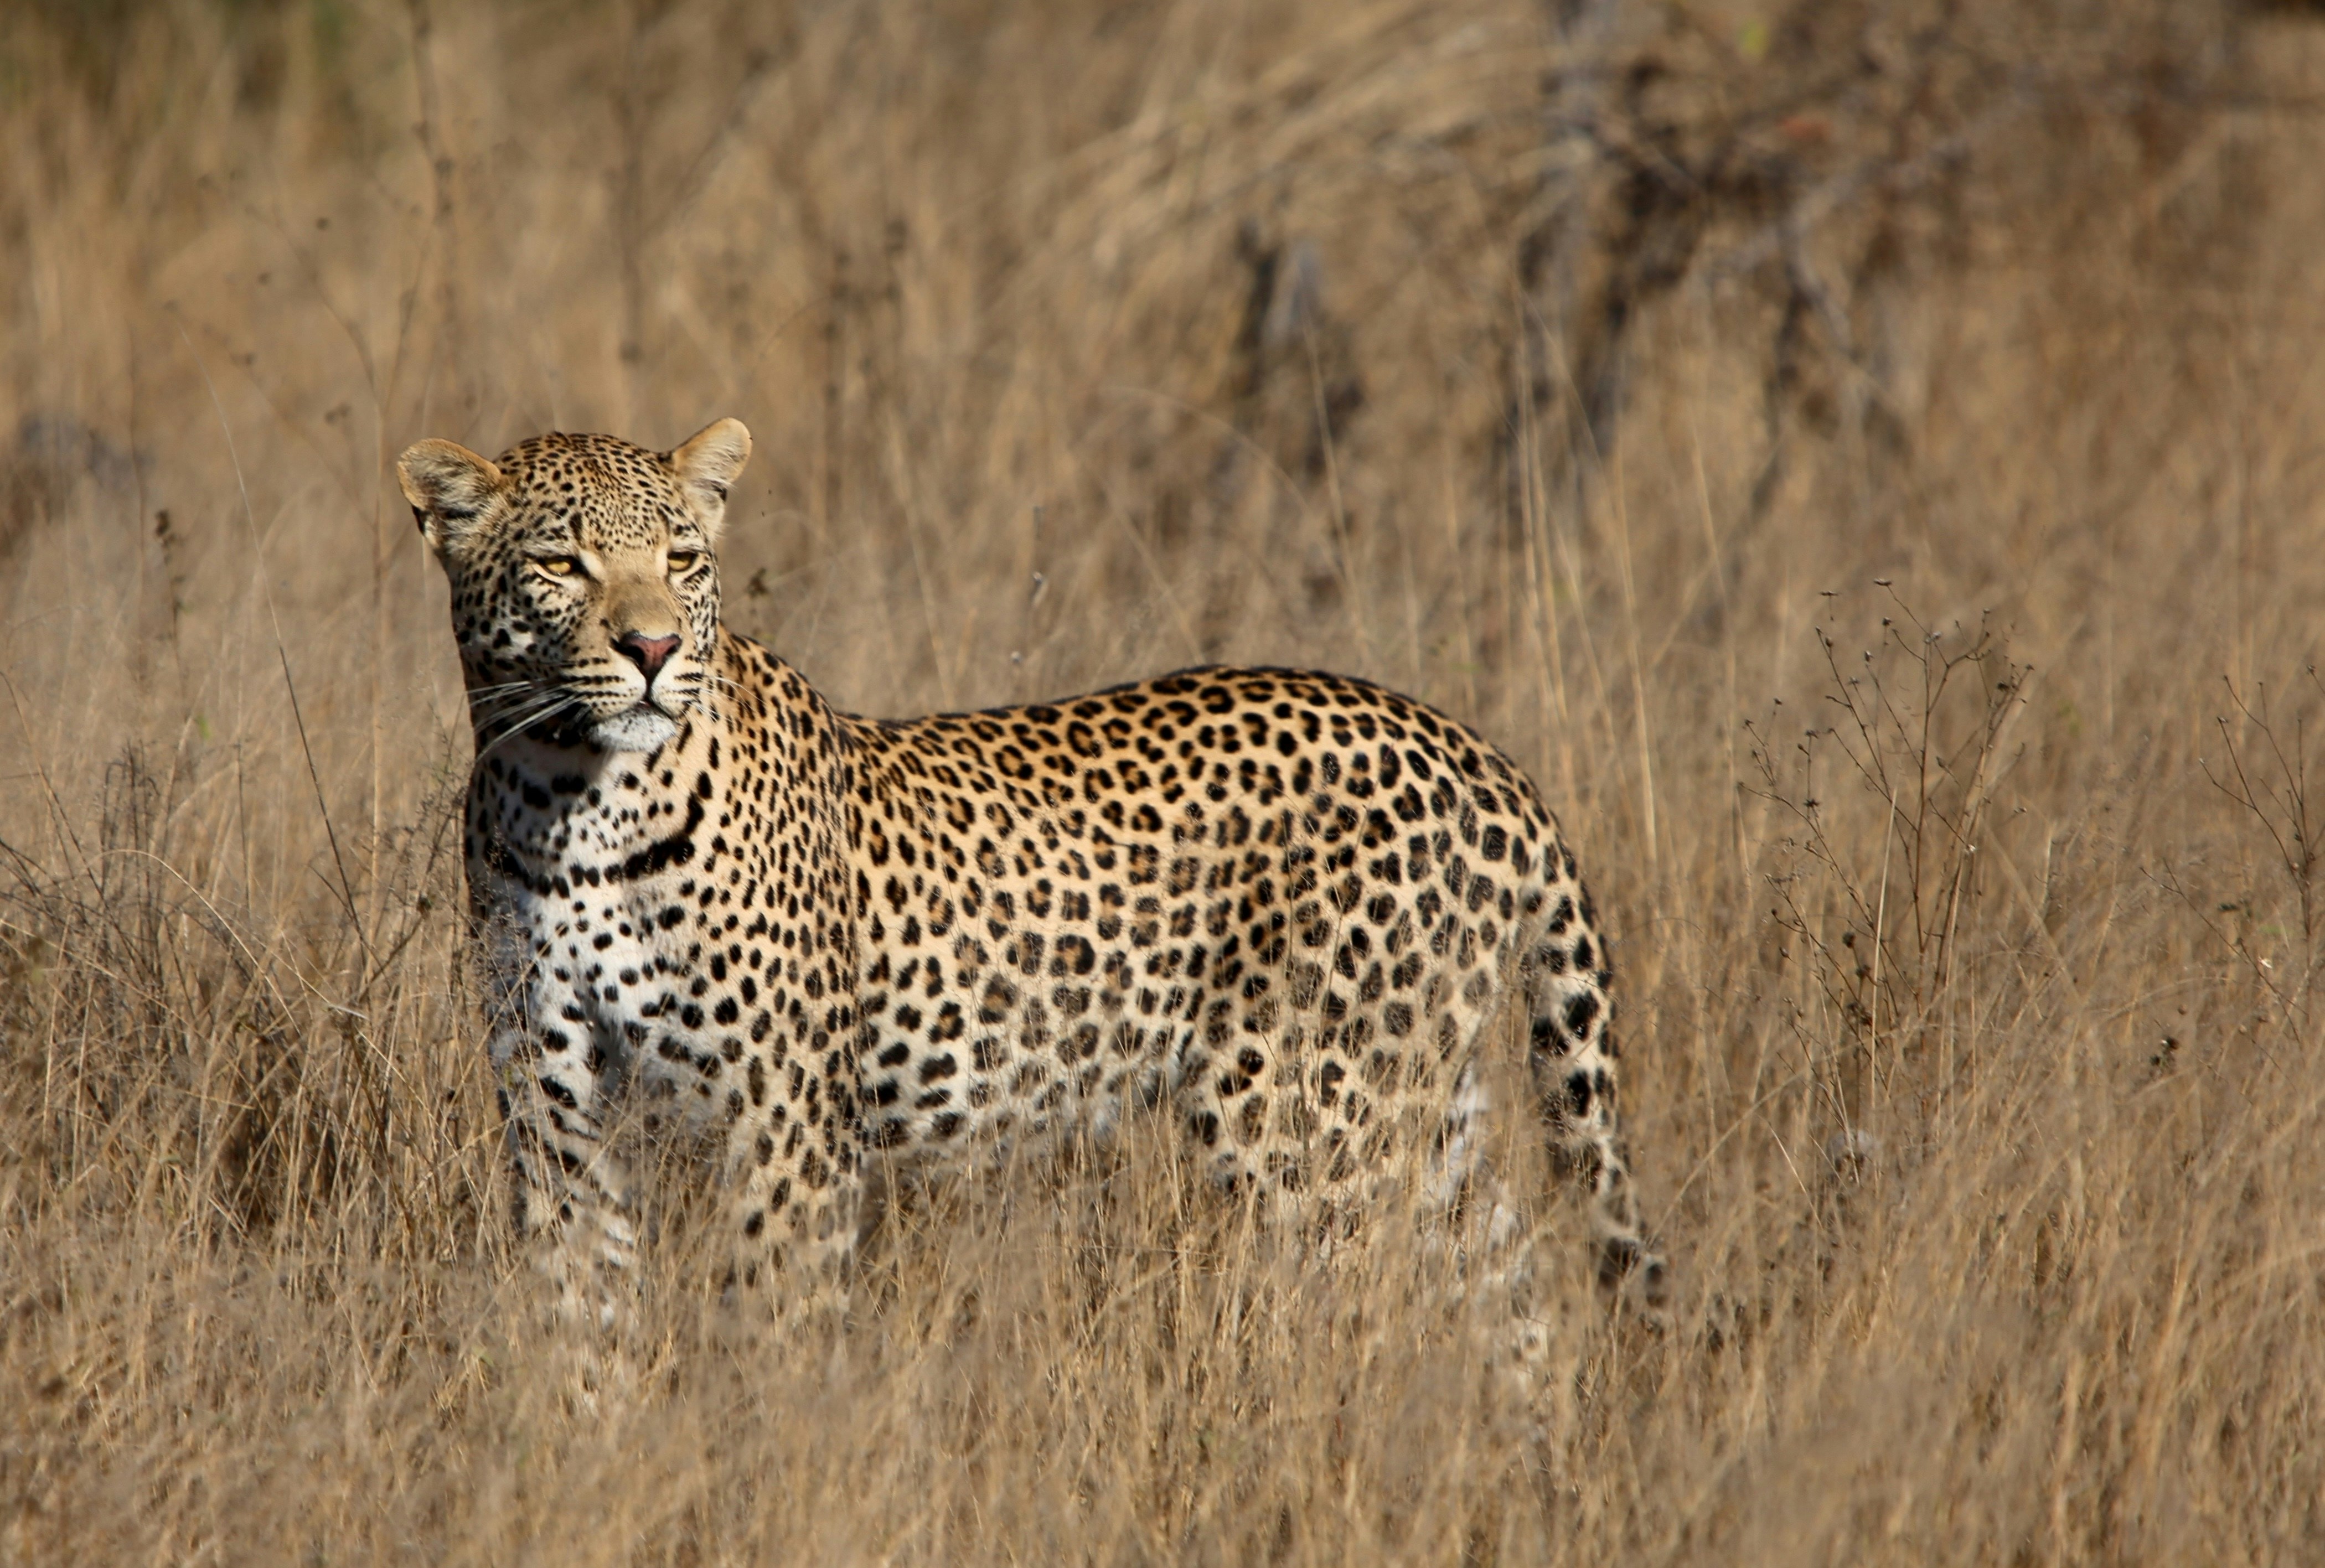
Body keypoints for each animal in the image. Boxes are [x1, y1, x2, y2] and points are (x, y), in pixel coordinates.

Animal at [397, 417, 1663, 1336]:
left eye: (681, 559)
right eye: (562, 564)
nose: (654, 649)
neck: (569, 798)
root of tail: (1475, 749)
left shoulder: (786, 1135)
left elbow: (780, 1340)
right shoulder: (558, 1126)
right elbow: (583, 1335)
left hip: (1307, 1112)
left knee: (1385, 1305)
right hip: (1421, 1099)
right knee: (1511, 1290)